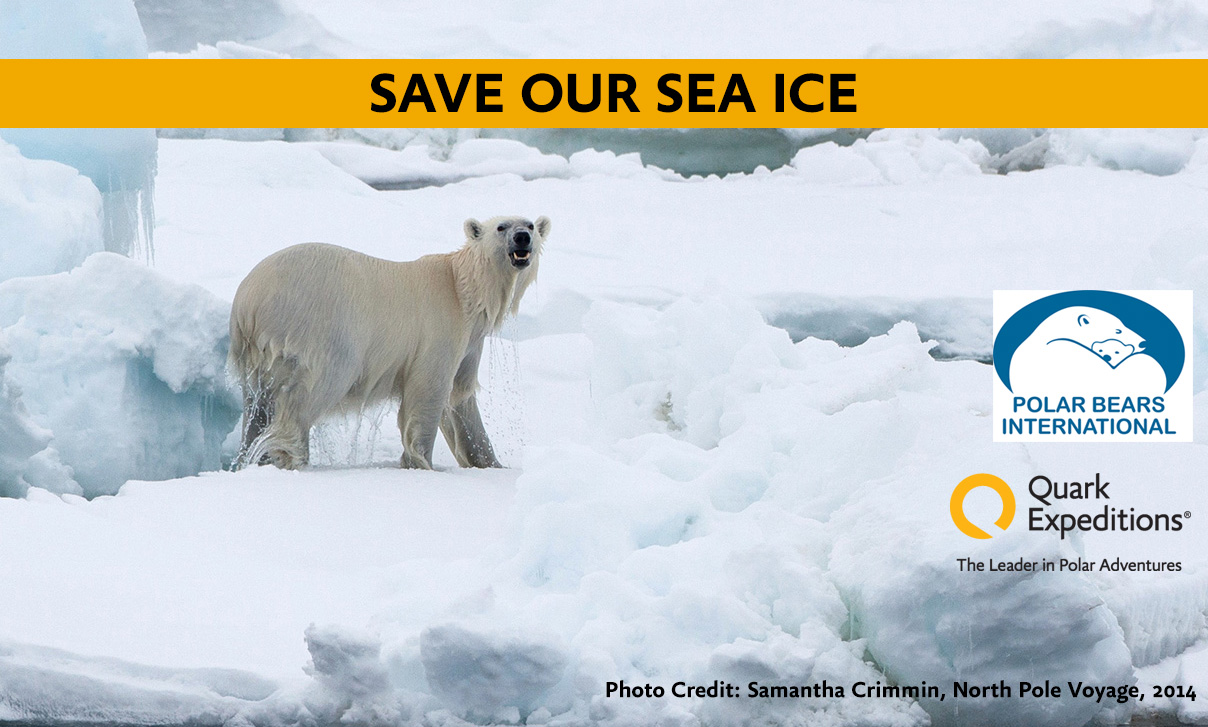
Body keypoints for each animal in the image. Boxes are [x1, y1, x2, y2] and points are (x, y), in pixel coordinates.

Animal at [228, 215, 550, 470]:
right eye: (501, 226)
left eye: (530, 225)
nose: (522, 238)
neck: (461, 287)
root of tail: (247, 302)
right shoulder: (440, 329)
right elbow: (429, 390)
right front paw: (421, 463)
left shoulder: (470, 342)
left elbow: (461, 398)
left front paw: (490, 463)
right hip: (316, 325)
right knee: (320, 384)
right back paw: (289, 454)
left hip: (257, 356)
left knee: (258, 404)